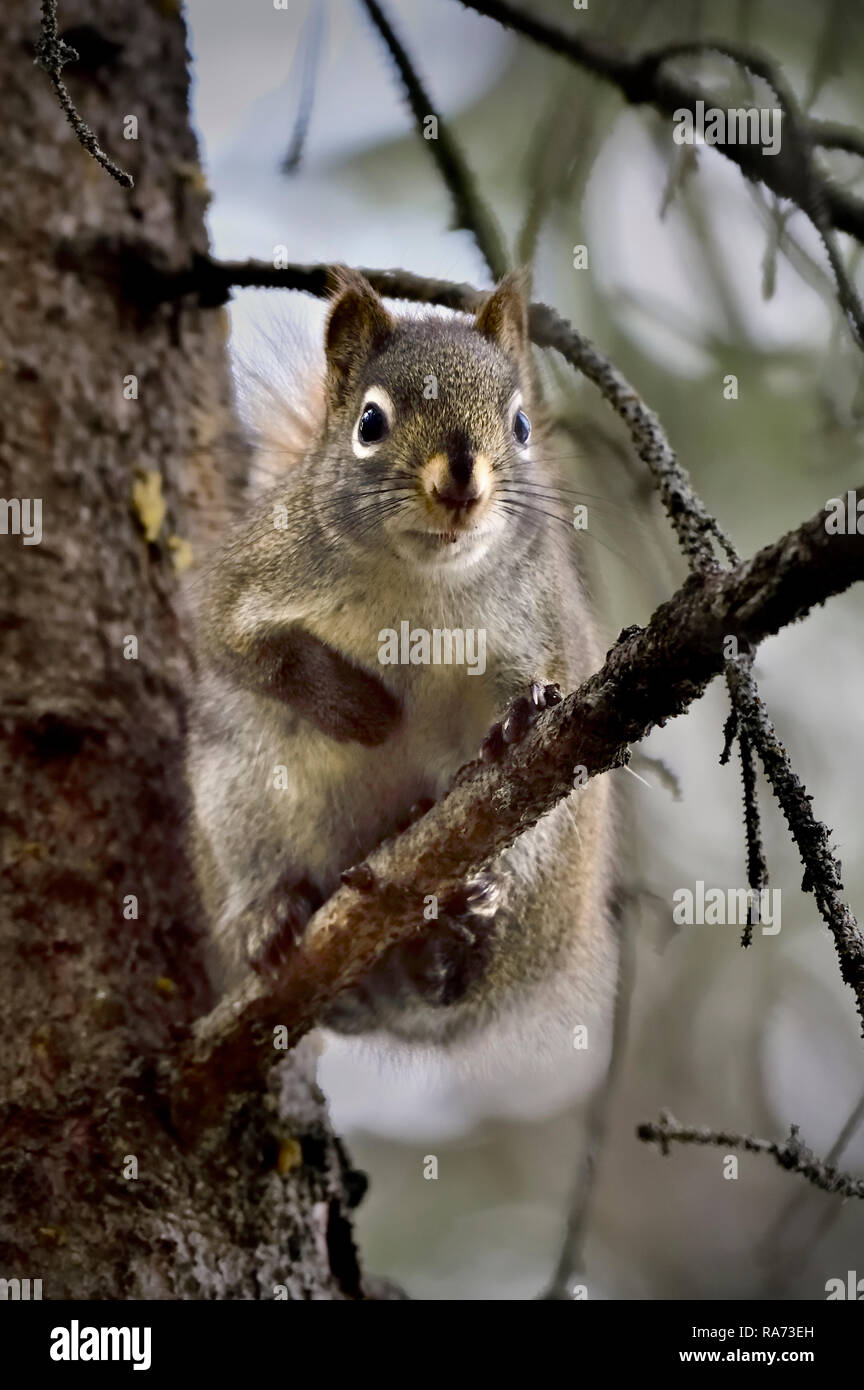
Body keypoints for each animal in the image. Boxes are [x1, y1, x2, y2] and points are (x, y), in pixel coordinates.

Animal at [187, 269, 618, 1056]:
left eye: (522, 425)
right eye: (369, 423)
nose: (461, 482)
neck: (421, 579)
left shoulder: (545, 621)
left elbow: (550, 687)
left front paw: (520, 717)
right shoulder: (239, 585)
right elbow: (244, 653)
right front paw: (360, 710)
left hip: (552, 854)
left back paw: (461, 921)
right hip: (235, 794)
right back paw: (270, 915)